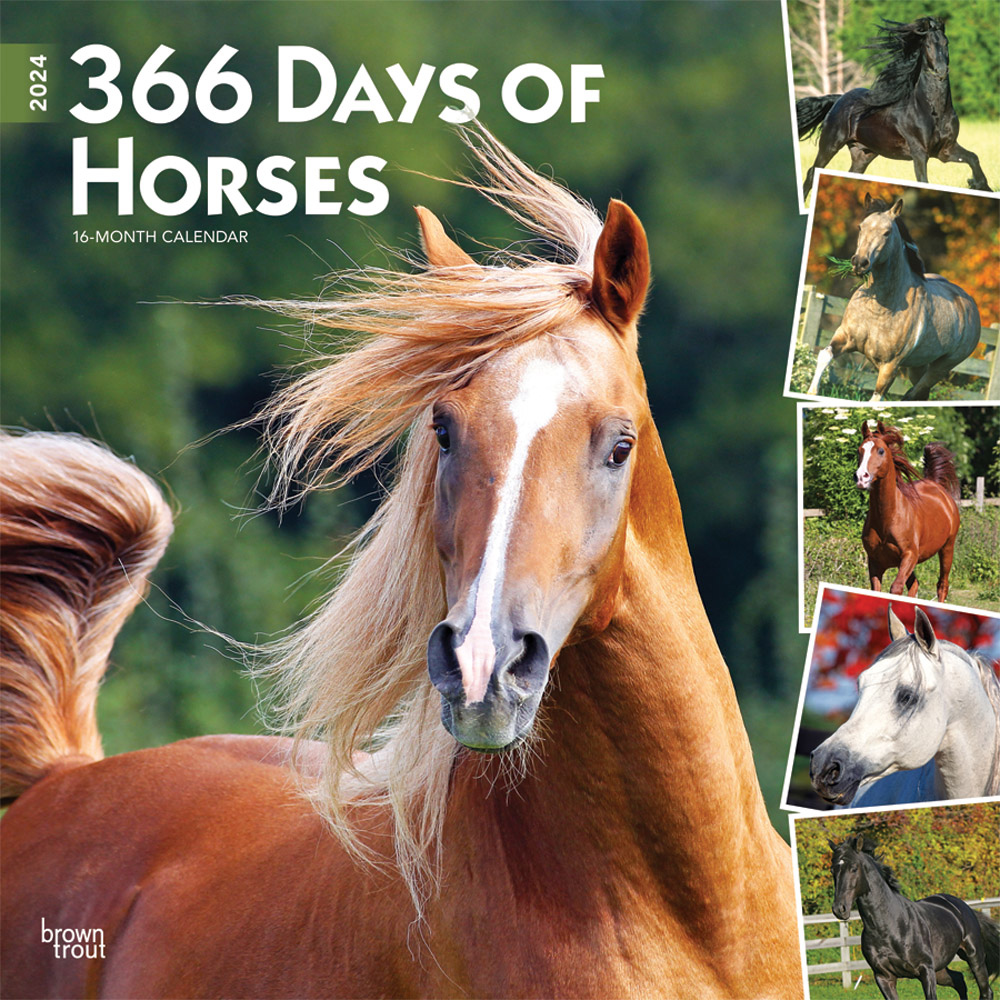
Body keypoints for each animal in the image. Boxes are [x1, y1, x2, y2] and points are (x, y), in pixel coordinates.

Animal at [797, 17, 993, 200]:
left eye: (946, 43)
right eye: (928, 45)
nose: (941, 70)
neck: (934, 112)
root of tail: (840, 98)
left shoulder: (946, 149)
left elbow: (973, 158)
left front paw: (979, 185)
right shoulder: (919, 153)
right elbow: (923, 181)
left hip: (863, 154)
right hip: (830, 145)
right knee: (812, 172)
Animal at [806, 194, 981, 401]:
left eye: (887, 232)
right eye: (860, 227)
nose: (859, 263)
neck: (879, 308)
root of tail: (970, 304)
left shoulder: (890, 366)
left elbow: (877, 397)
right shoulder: (845, 336)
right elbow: (825, 355)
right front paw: (811, 392)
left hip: (942, 366)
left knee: (915, 393)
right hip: (918, 365)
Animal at [828, 835, 998, 999]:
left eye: (854, 868)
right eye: (832, 871)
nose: (839, 909)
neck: (888, 927)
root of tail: (963, 906)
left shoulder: (925, 970)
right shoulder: (884, 977)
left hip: (973, 957)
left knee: (985, 991)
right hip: (940, 969)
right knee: (959, 980)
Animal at [855, 420, 960, 602]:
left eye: (881, 450)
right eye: (859, 450)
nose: (861, 477)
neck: (887, 518)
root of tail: (936, 485)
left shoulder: (909, 556)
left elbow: (896, 588)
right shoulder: (875, 562)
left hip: (947, 547)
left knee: (942, 586)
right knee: (915, 585)